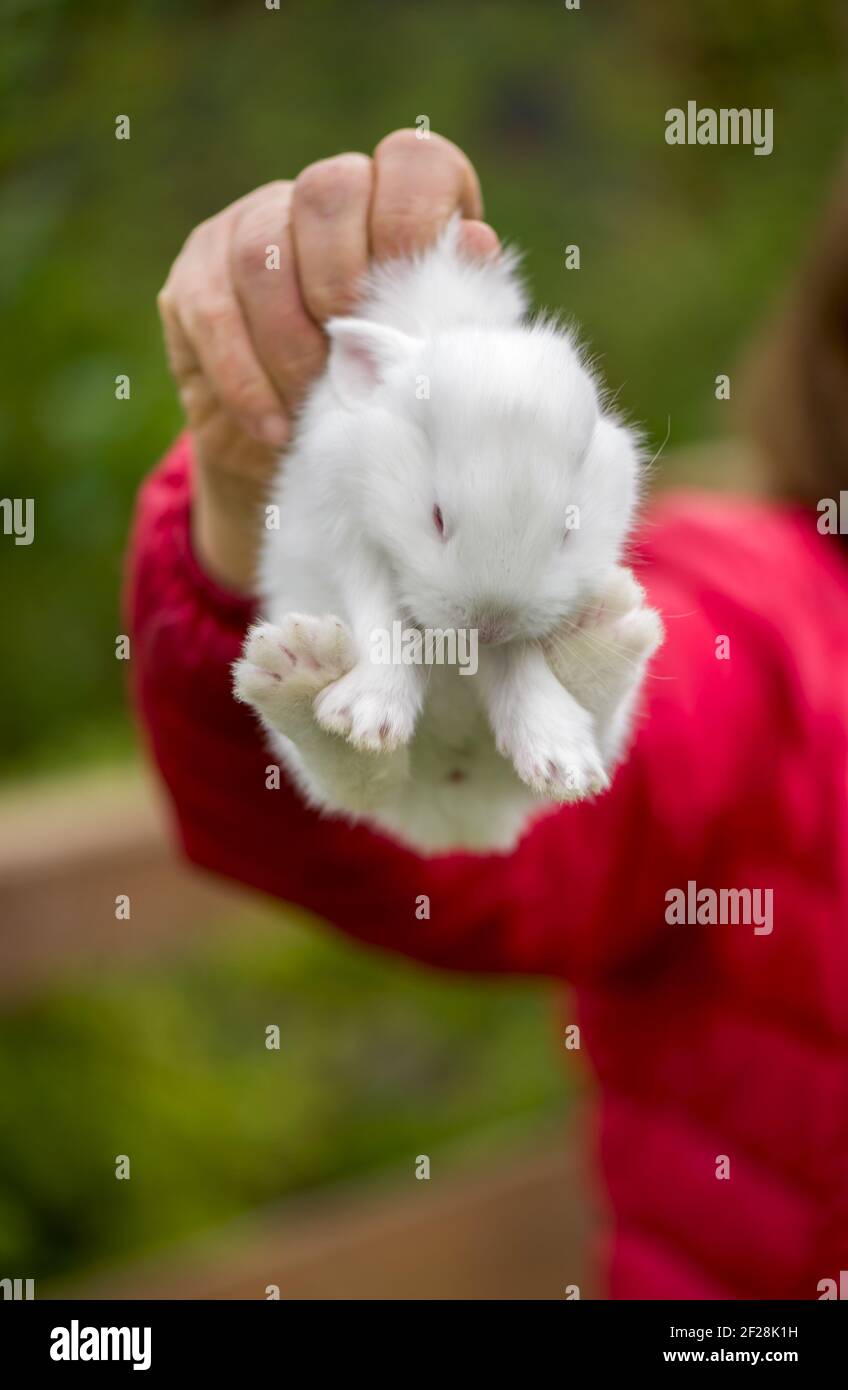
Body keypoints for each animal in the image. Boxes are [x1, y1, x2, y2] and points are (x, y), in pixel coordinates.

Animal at [233, 219, 663, 853]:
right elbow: (382, 616)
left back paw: (602, 640)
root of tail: (456, 812)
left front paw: (558, 757)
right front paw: (369, 716)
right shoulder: (353, 529)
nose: (490, 623)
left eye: (569, 527)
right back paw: (307, 677)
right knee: (359, 779)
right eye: (436, 517)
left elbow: (522, 662)